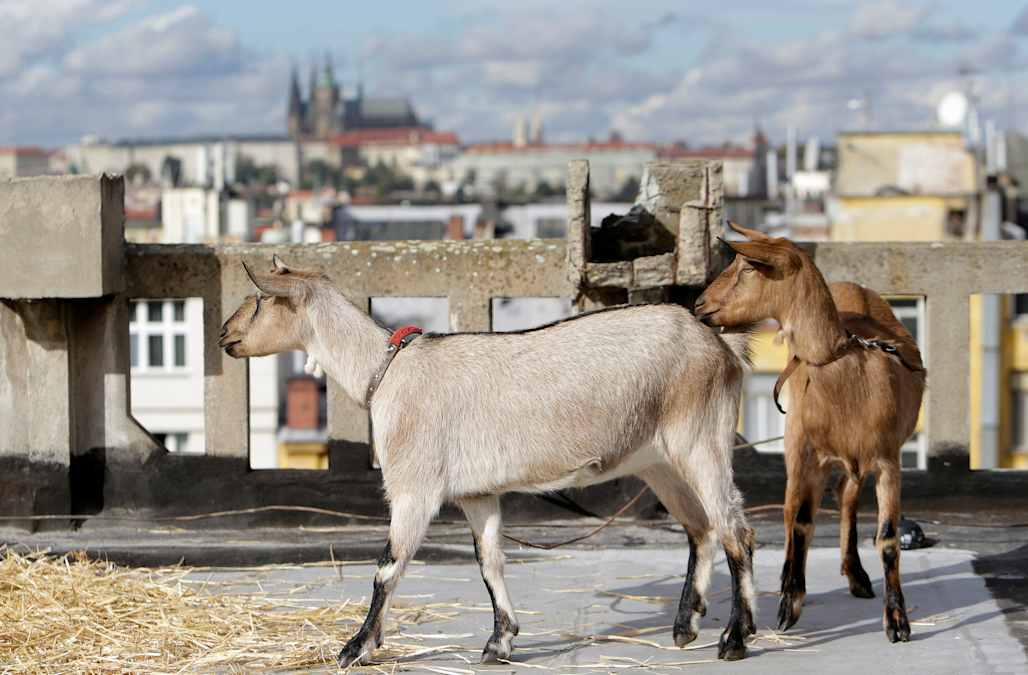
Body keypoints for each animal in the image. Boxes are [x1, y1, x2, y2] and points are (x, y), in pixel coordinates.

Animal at [219, 255, 757, 667]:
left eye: (261, 299)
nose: (225, 334)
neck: (386, 372)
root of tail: (722, 346)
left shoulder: (414, 487)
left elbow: (387, 567)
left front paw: (356, 648)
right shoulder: (477, 493)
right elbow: (489, 562)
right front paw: (500, 642)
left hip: (700, 439)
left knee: (736, 530)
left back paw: (736, 636)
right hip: (658, 460)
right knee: (701, 528)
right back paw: (686, 626)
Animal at [694, 223, 925, 644]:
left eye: (748, 267)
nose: (700, 304)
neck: (849, 371)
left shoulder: (888, 459)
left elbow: (886, 537)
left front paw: (898, 620)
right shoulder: (807, 453)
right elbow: (801, 520)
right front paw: (790, 604)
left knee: (846, 497)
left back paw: (858, 577)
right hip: (793, 442)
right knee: (791, 511)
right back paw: (791, 575)